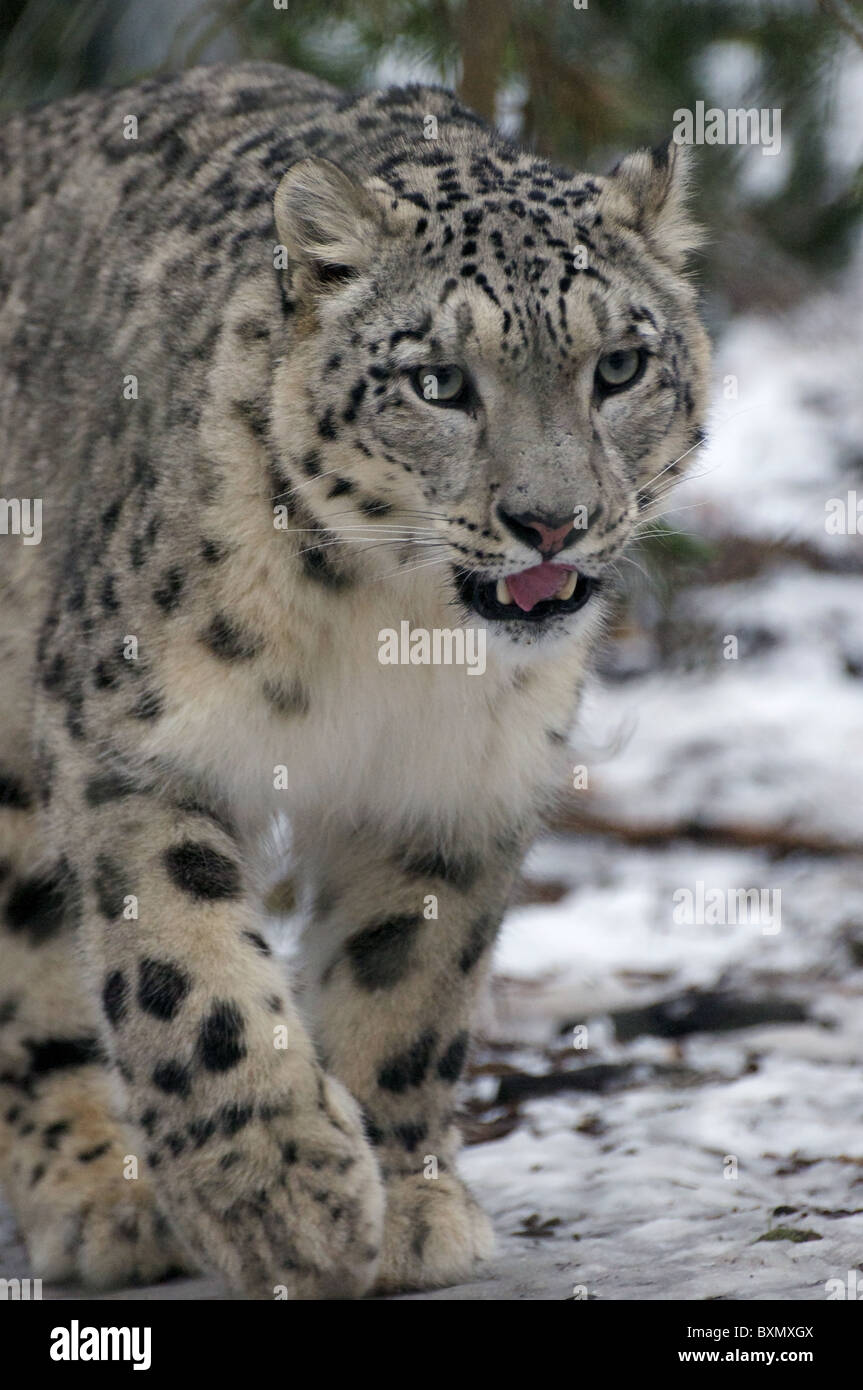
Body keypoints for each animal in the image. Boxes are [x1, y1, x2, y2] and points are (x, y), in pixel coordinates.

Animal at [0, 61, 710, 1299]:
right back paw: (99, 1196)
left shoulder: (454, 786)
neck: (398, 630)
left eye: (618, 366)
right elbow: (188, 972)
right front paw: (281, 1199)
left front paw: (403, 1205)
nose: (550, 521)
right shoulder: (131, 735)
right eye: (436, 381)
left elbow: (406, 980)